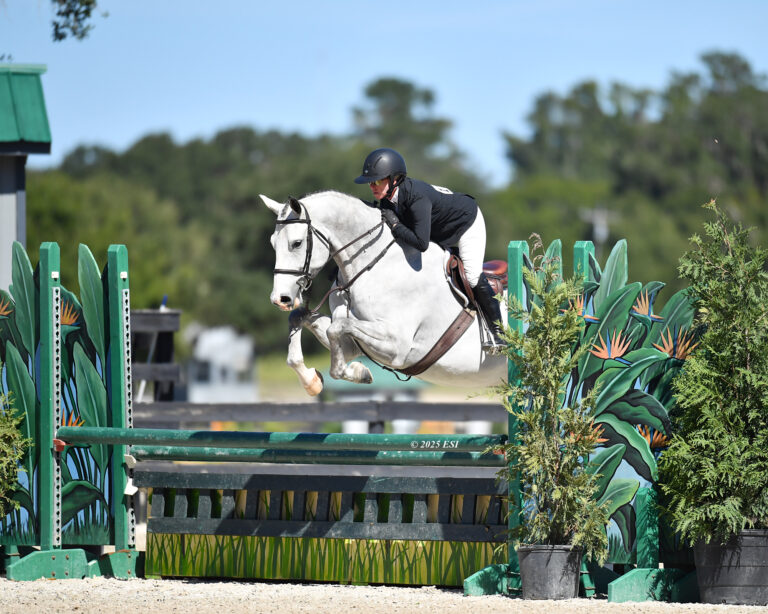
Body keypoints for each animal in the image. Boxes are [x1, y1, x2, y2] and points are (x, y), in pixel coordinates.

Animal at [261, 191, 506, 396]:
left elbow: (336, 329)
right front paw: (312, 381)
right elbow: (299, 318)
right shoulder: (354, 343)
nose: (280, 299)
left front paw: (357, 372)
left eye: (296, 243)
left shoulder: (398, 346)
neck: (373, 265)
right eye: (272, 243)